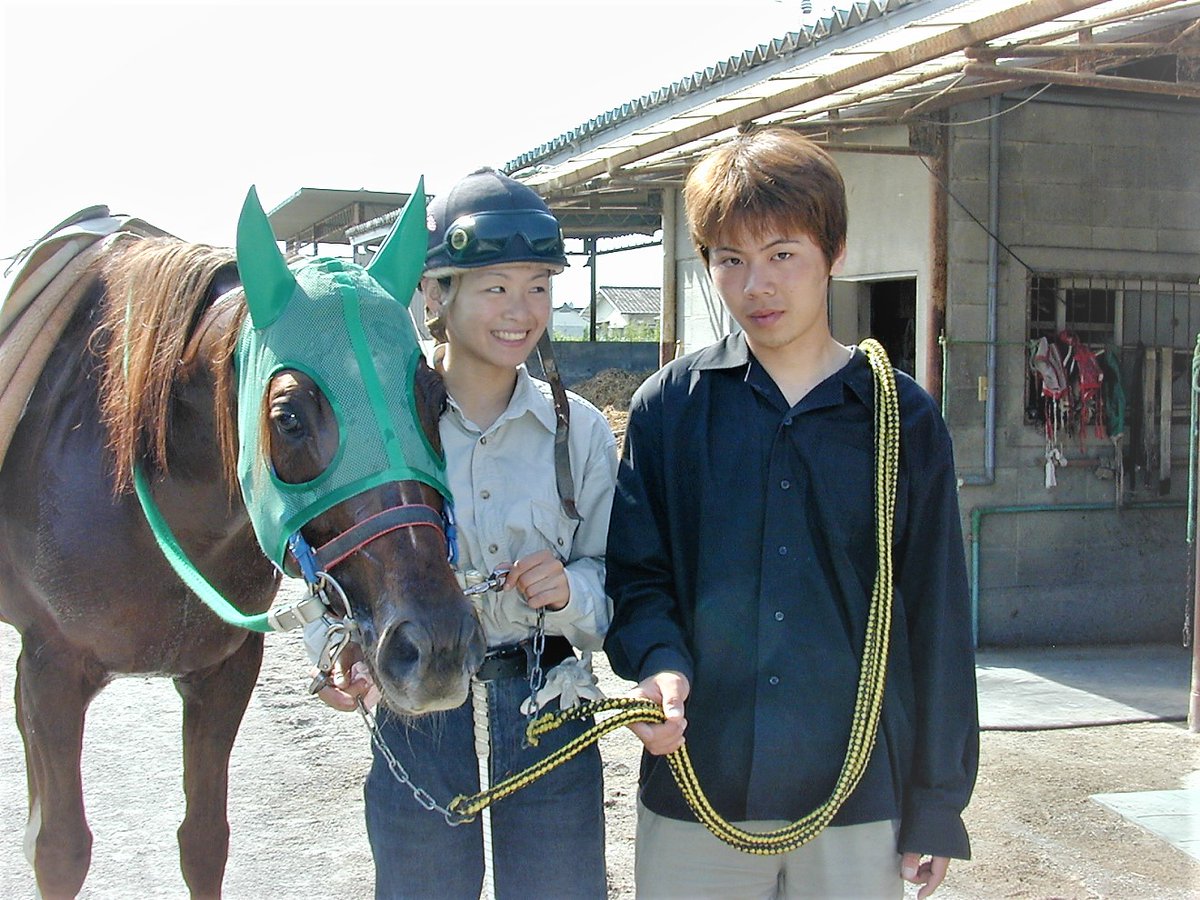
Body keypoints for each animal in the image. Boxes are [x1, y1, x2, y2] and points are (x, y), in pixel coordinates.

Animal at [0, 185, 485, 898]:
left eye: (435, 399)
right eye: (287, 416)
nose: (439, 646)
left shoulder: (222, 675)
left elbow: (204, 841)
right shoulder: (51, 671)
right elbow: (59, 851)